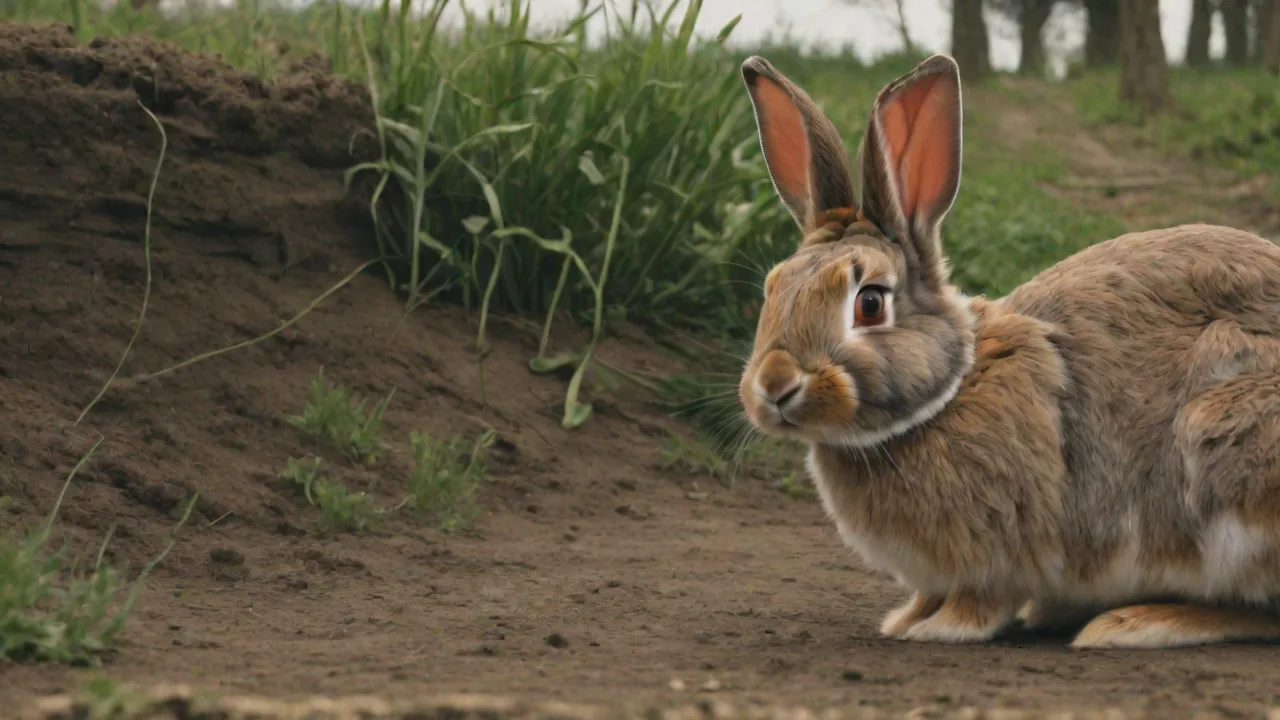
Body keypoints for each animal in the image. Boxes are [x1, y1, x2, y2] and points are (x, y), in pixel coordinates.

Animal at [735, 52, 1280, 649]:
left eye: (870, 304)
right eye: (772, 288)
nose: (774, 385)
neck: (949, 391)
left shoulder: (1000, 548)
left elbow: (982, 599)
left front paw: (939, 629)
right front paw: (905, 618)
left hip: (1221, 444)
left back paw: (1135, 623)